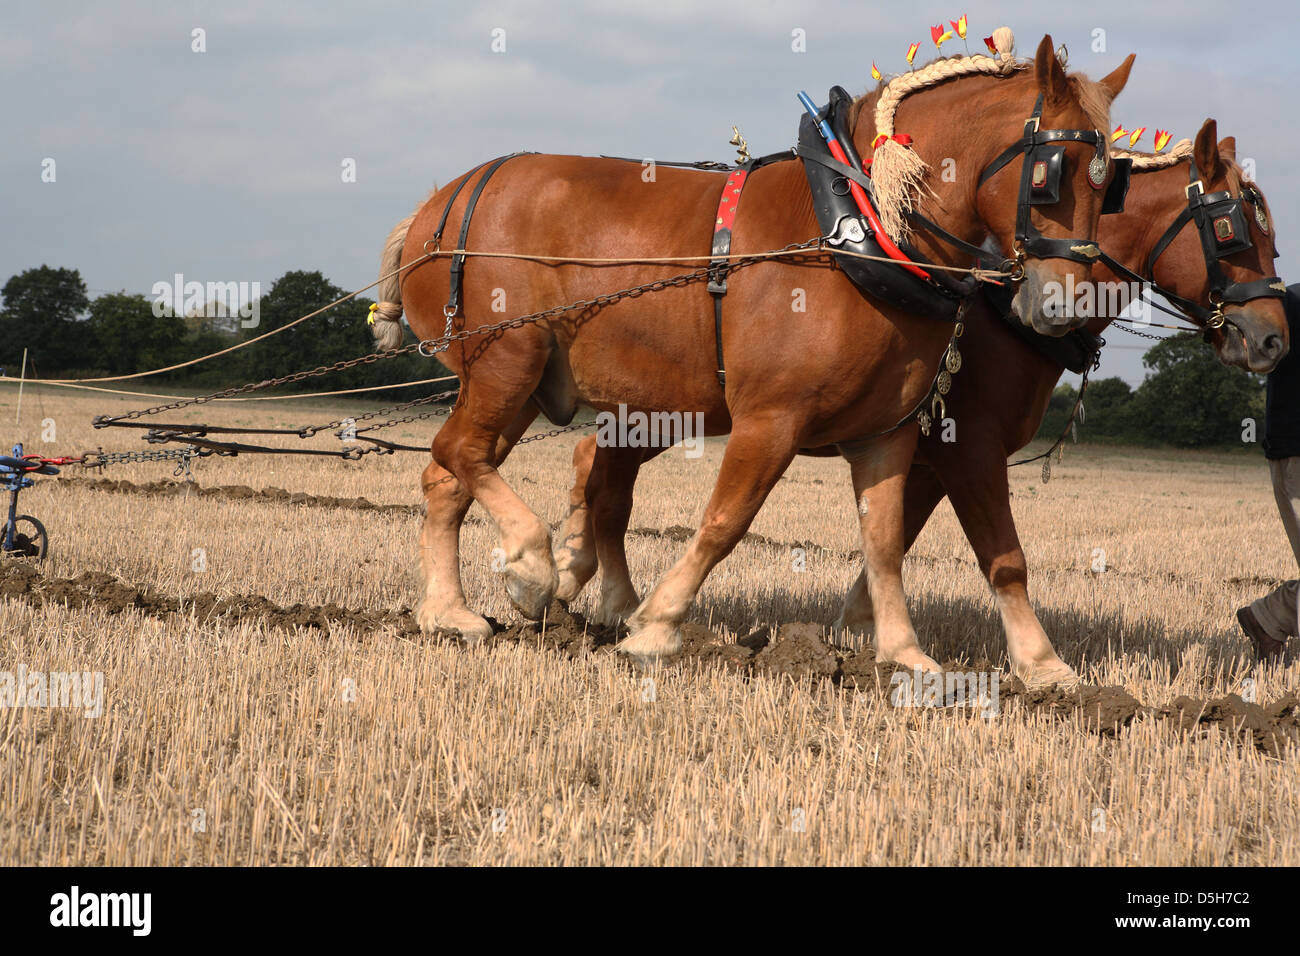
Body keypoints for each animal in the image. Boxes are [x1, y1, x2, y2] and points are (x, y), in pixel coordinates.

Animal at [372, 32, 1134, 672]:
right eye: (1051, 172)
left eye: (1111, 185)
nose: (1061, 305)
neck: (857, 232)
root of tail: (442, 203)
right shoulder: (772, 419)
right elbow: (724, 522)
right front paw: (655, 626)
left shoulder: (885, 431)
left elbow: (884, 545)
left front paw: (904, 654)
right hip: (507, 359)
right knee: (459, 452)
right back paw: (531, 570)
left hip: (526, 385)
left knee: (447, 475)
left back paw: (447, 613)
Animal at [554, 117, 1289, 687]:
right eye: (1231, 226)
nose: (1272, 337)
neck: (1001, 302)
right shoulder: (968, 447)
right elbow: (999, 552)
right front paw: (1038, 663)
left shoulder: (925, 451)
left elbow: (894, 535)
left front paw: (860, 628)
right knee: (606, 475)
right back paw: (596, 589)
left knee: (599, 465)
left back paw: (583, 579)